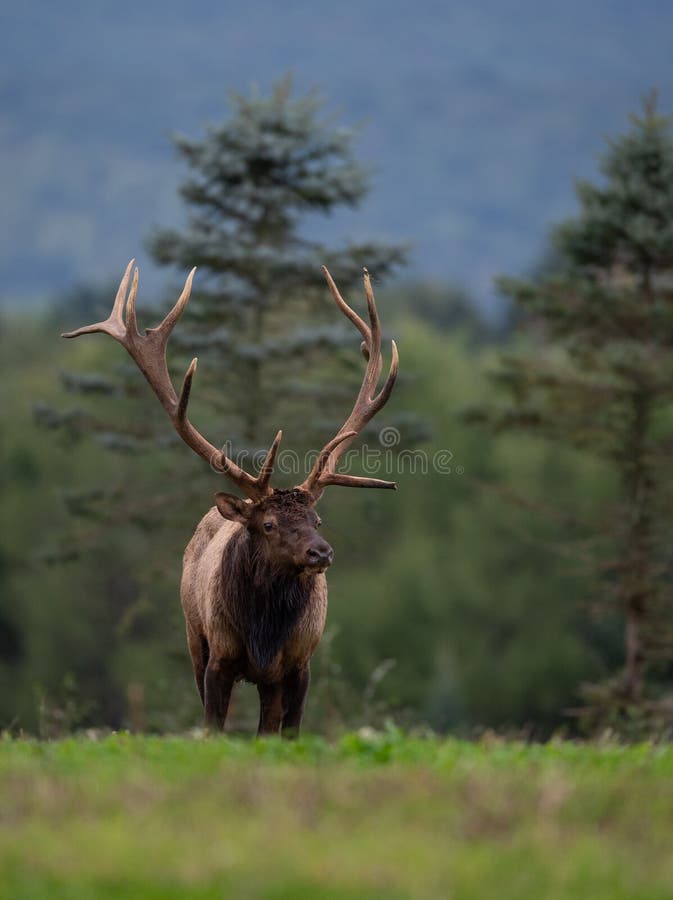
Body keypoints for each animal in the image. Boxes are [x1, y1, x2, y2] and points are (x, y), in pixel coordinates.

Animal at [62, 261, 398, 736]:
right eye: (268, 524)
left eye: (317, 521)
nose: (321, 553)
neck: (264, 637)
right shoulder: (217, 657)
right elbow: (211, 728)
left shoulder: (300, 663)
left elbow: (287, 733)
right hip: (193, 636)